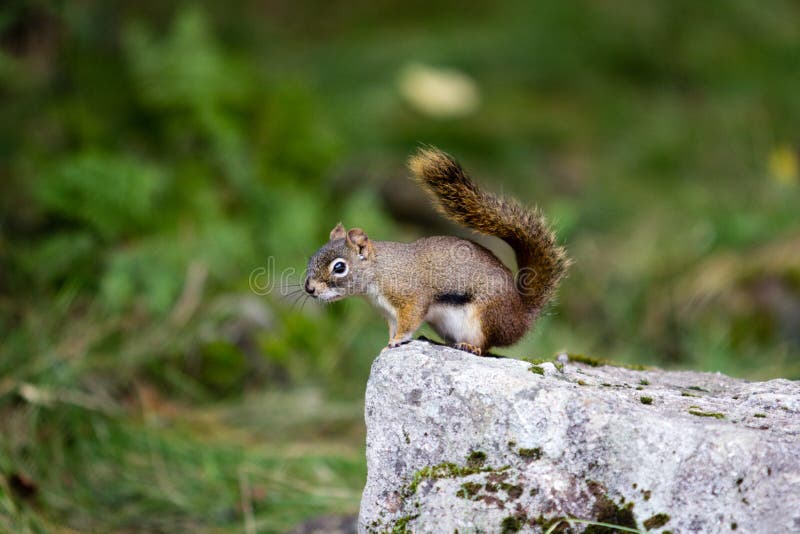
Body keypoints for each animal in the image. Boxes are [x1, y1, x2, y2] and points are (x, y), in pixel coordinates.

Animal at [304, 147, 571, 355]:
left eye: (340, 267)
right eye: (312, 257)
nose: (309, 288)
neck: (378, 272)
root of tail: (520, 319)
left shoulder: (410, 296)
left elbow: (409, 321)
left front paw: (396, 341)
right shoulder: (389, 314)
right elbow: (393, 327)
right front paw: (388, 342)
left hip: (485, 318)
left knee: (487, 345)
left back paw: (470, 347)